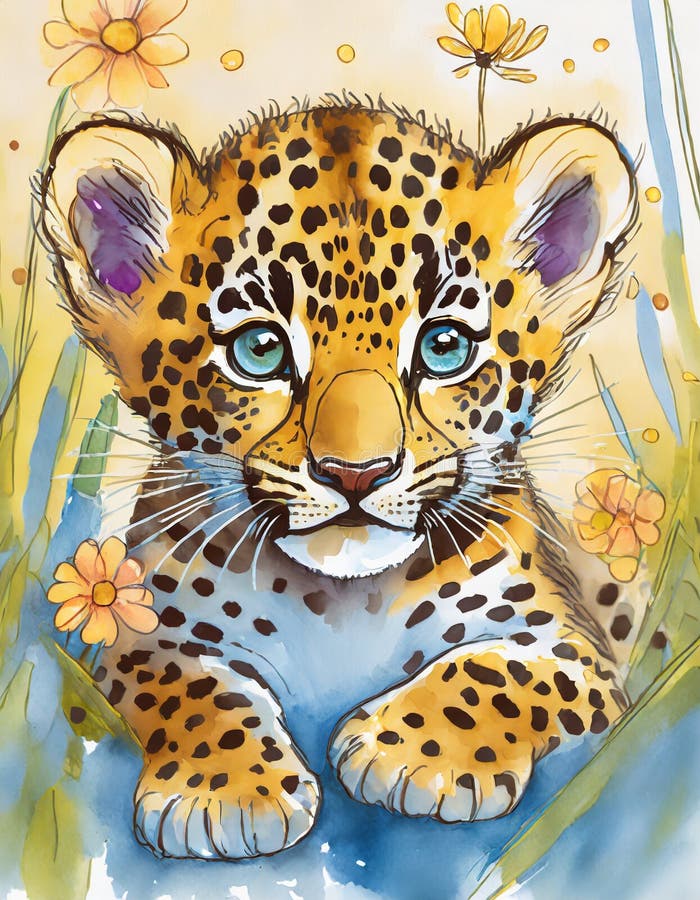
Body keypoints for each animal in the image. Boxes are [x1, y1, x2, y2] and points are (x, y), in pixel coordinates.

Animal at [40, 99, 638, 861]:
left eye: (445, 347)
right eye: (259, 349)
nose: (357, 473)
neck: (340, 600)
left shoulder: (576, 652)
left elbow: (496, 671)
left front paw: (410, 755)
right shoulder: (141, 633)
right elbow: (191, 686)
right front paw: (225, 793)